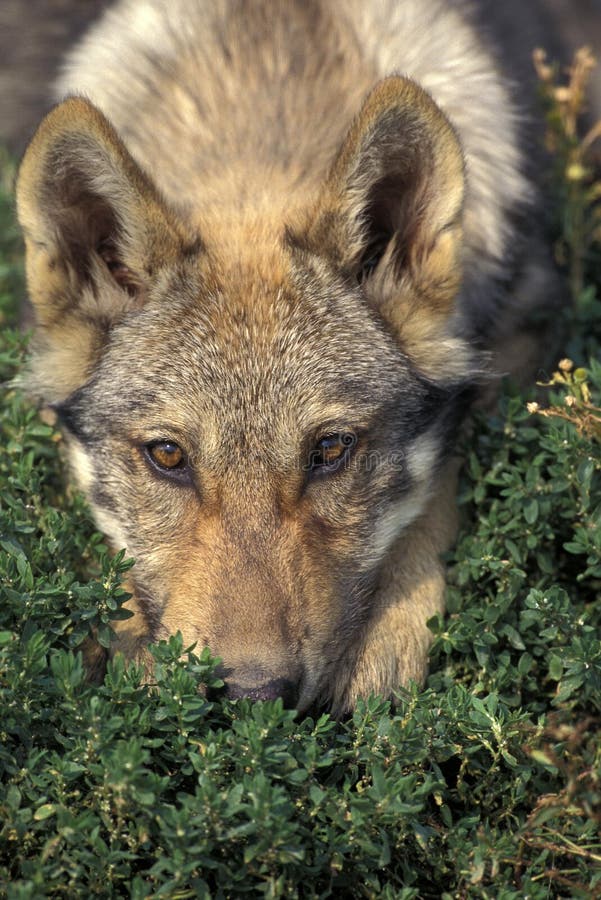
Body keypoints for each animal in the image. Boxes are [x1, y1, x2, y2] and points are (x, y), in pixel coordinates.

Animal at [16, 0, 564, 714]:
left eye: (330, 450)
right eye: (167, 456)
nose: (252, 695)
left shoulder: (527, 330)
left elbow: (440, 486)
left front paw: (393, 628)